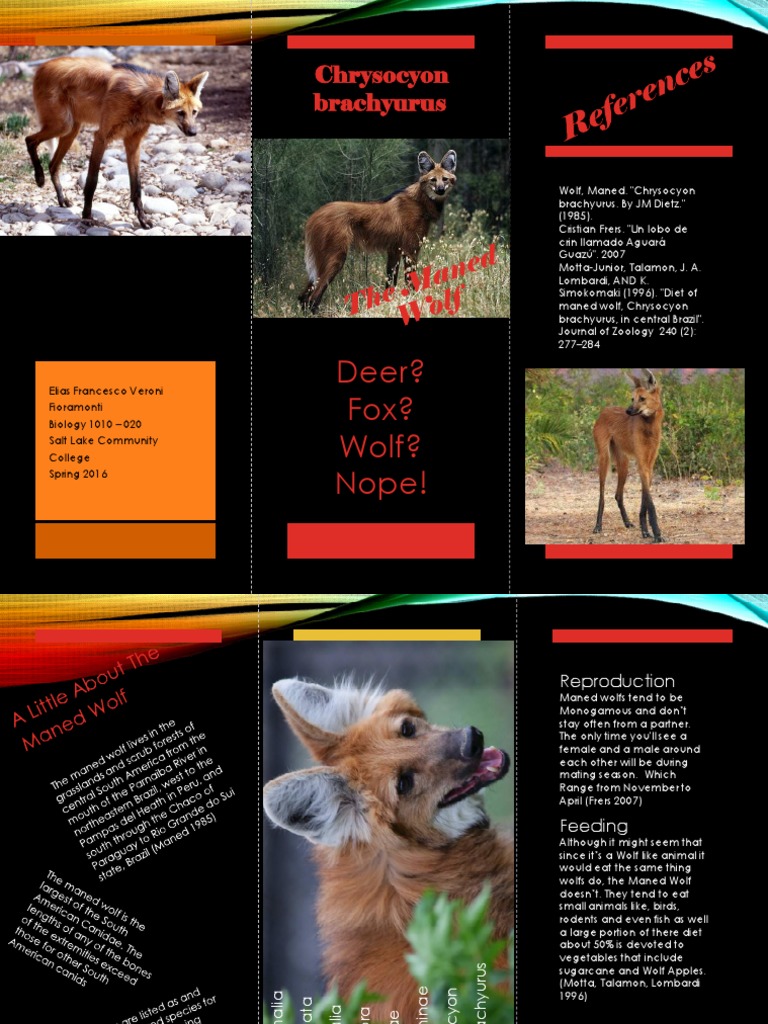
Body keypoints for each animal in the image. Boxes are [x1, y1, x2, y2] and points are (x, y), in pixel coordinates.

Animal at [26, 57, 209, 229]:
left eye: (194, 112)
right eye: (180, 113)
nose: (193, 132)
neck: (140, 101)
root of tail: (43, 66)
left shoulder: (133, 142)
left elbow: (136, 187)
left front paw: (143, 220)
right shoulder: (101, 137)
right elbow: (92, 181)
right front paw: (87, 216)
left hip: (72, 130)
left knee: (52, 164)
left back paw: (62, 199)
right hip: (63, 125)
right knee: (29, 140)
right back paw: (40, 178)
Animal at [299, 150, 457, 312]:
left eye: (445, 179)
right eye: (433, 180)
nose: (440, 190)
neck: (421, 203)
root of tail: (313, 216)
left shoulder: (394, 250)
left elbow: (390, 283)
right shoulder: (410, 250)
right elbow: (410, 280)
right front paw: (414, 300)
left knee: (303, 297)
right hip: (336, 257)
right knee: (312, 297)